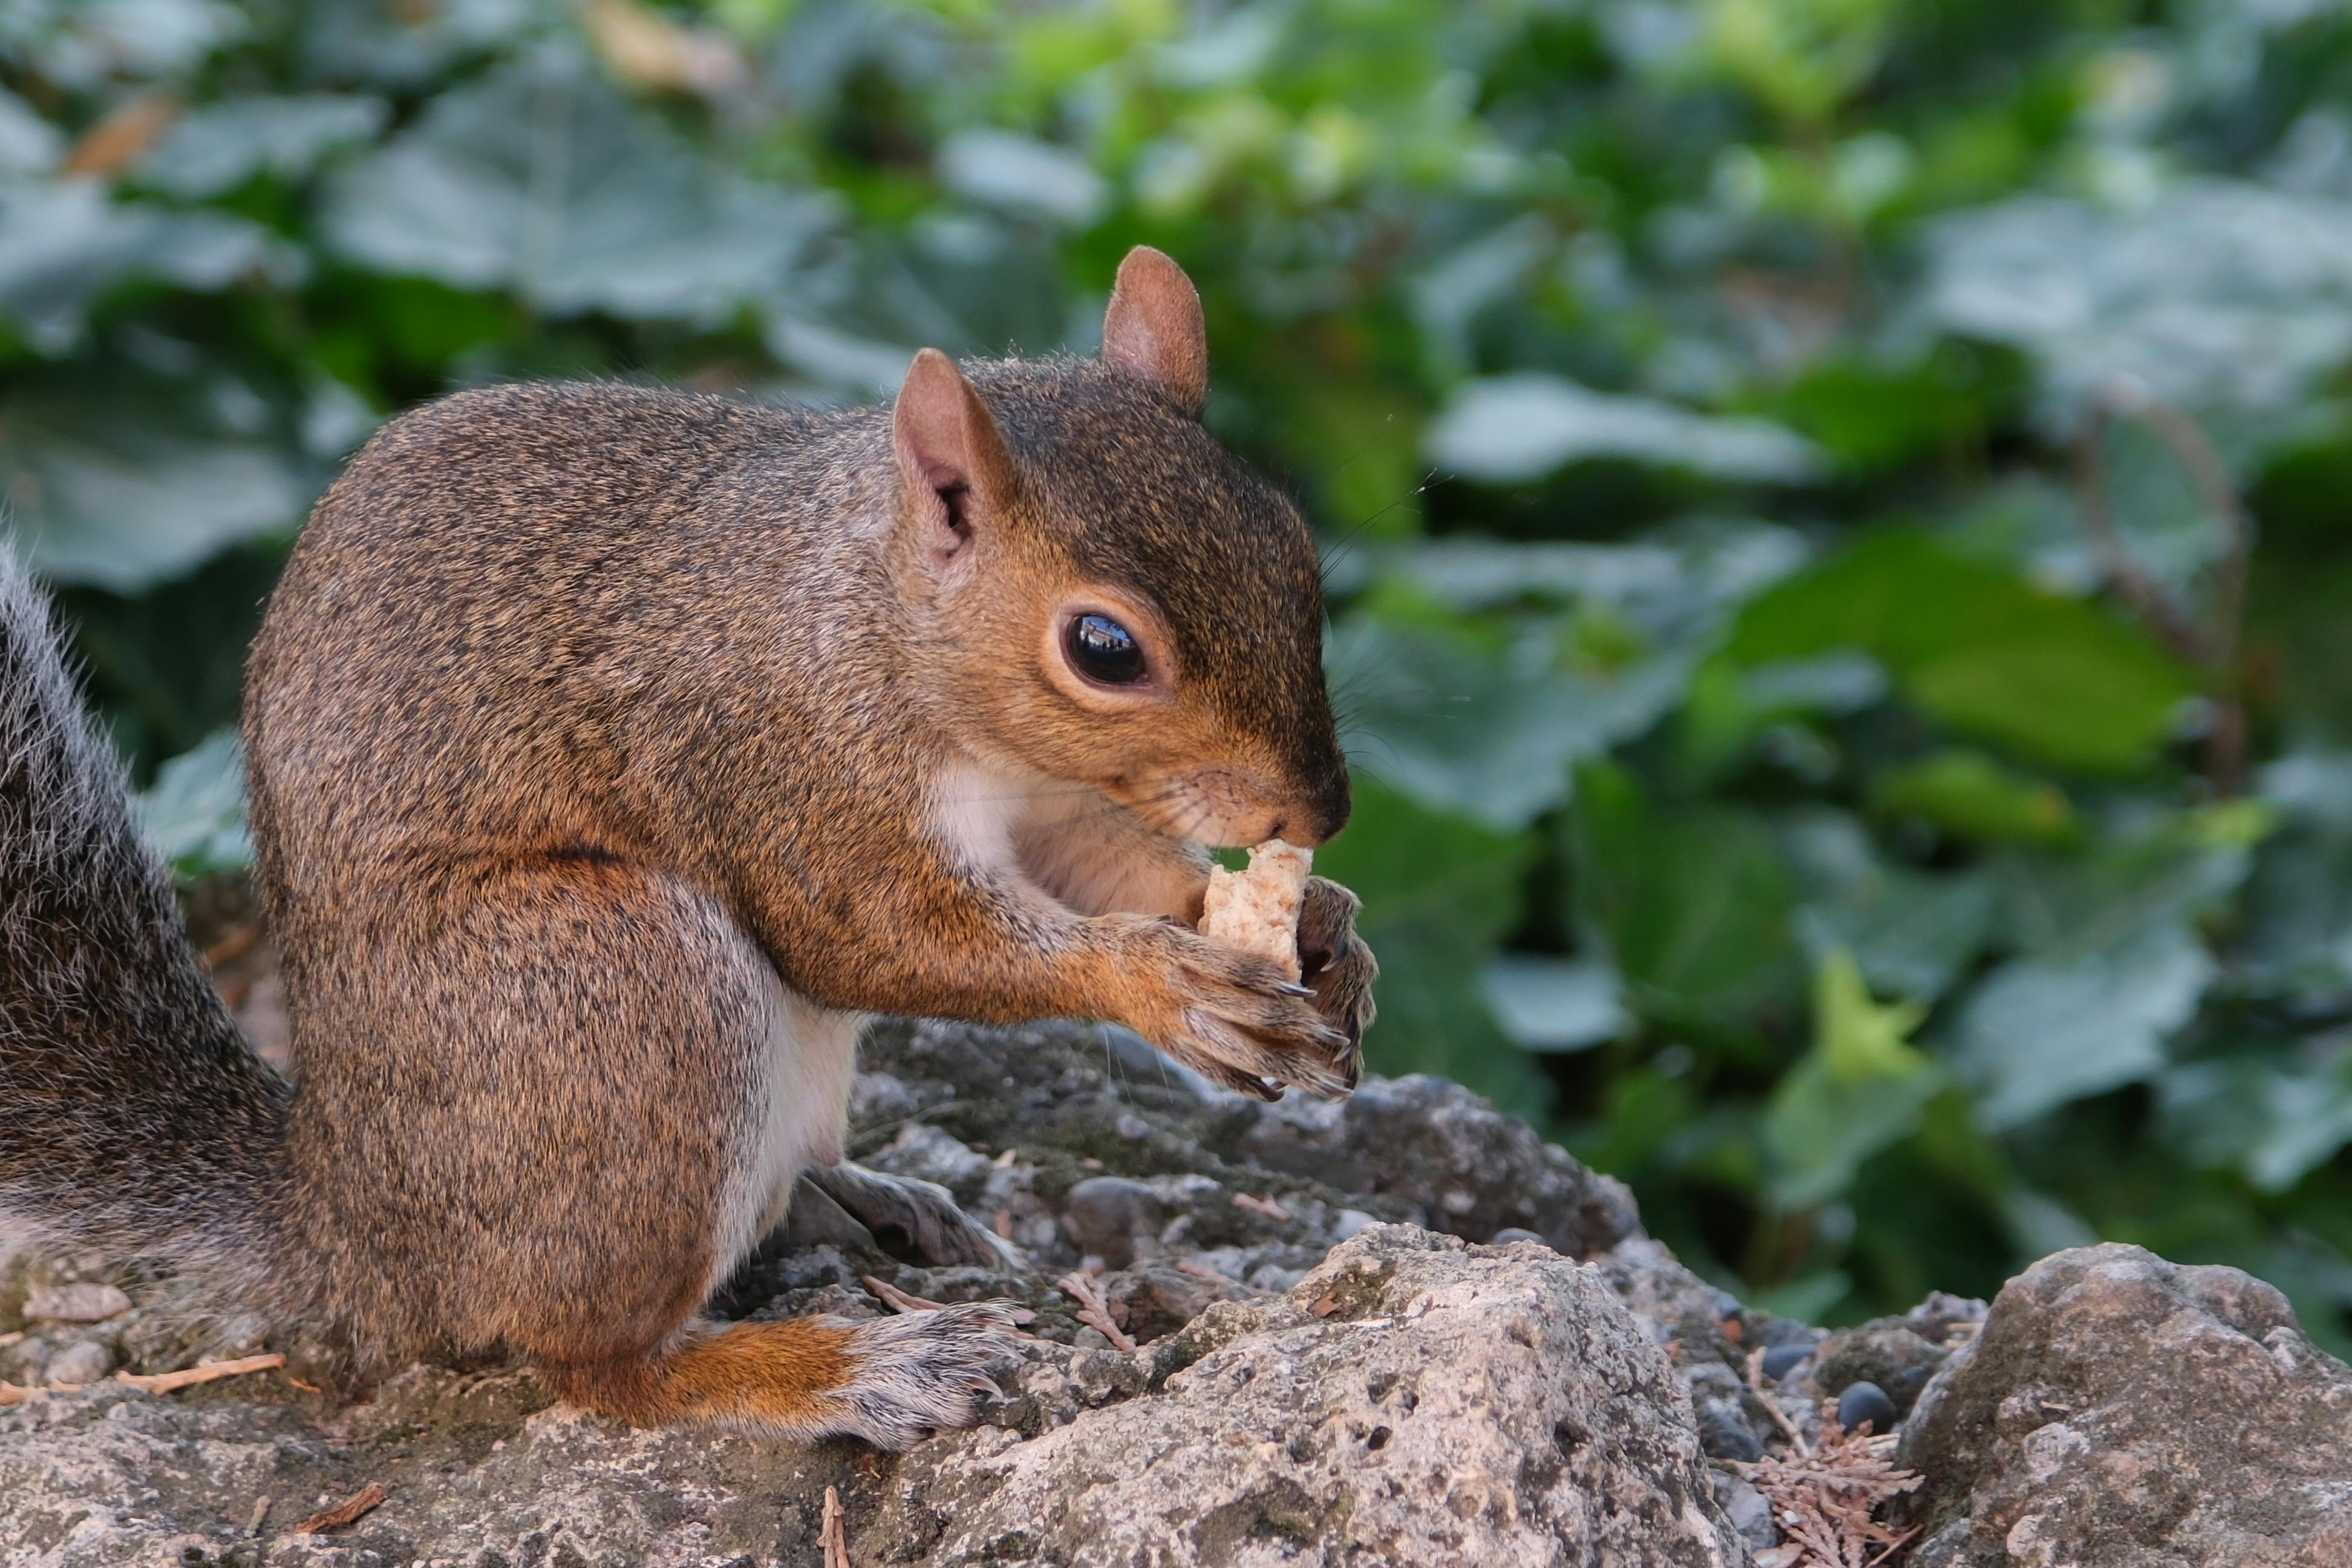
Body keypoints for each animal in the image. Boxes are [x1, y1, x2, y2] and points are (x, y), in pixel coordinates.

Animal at [0, 247, 1377, 1447]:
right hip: (616, 987)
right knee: (590, 1363)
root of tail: (355, 1224)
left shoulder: (1052, 806)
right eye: (1102, 648)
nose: (1318, 814)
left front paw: (1318, 932)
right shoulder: (782, 767)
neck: (872, 616)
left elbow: (1103, 871)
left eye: (1293, 549)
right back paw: (833, 1366)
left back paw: (870, 1203)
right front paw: (1163, 982)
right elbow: (875, 939)